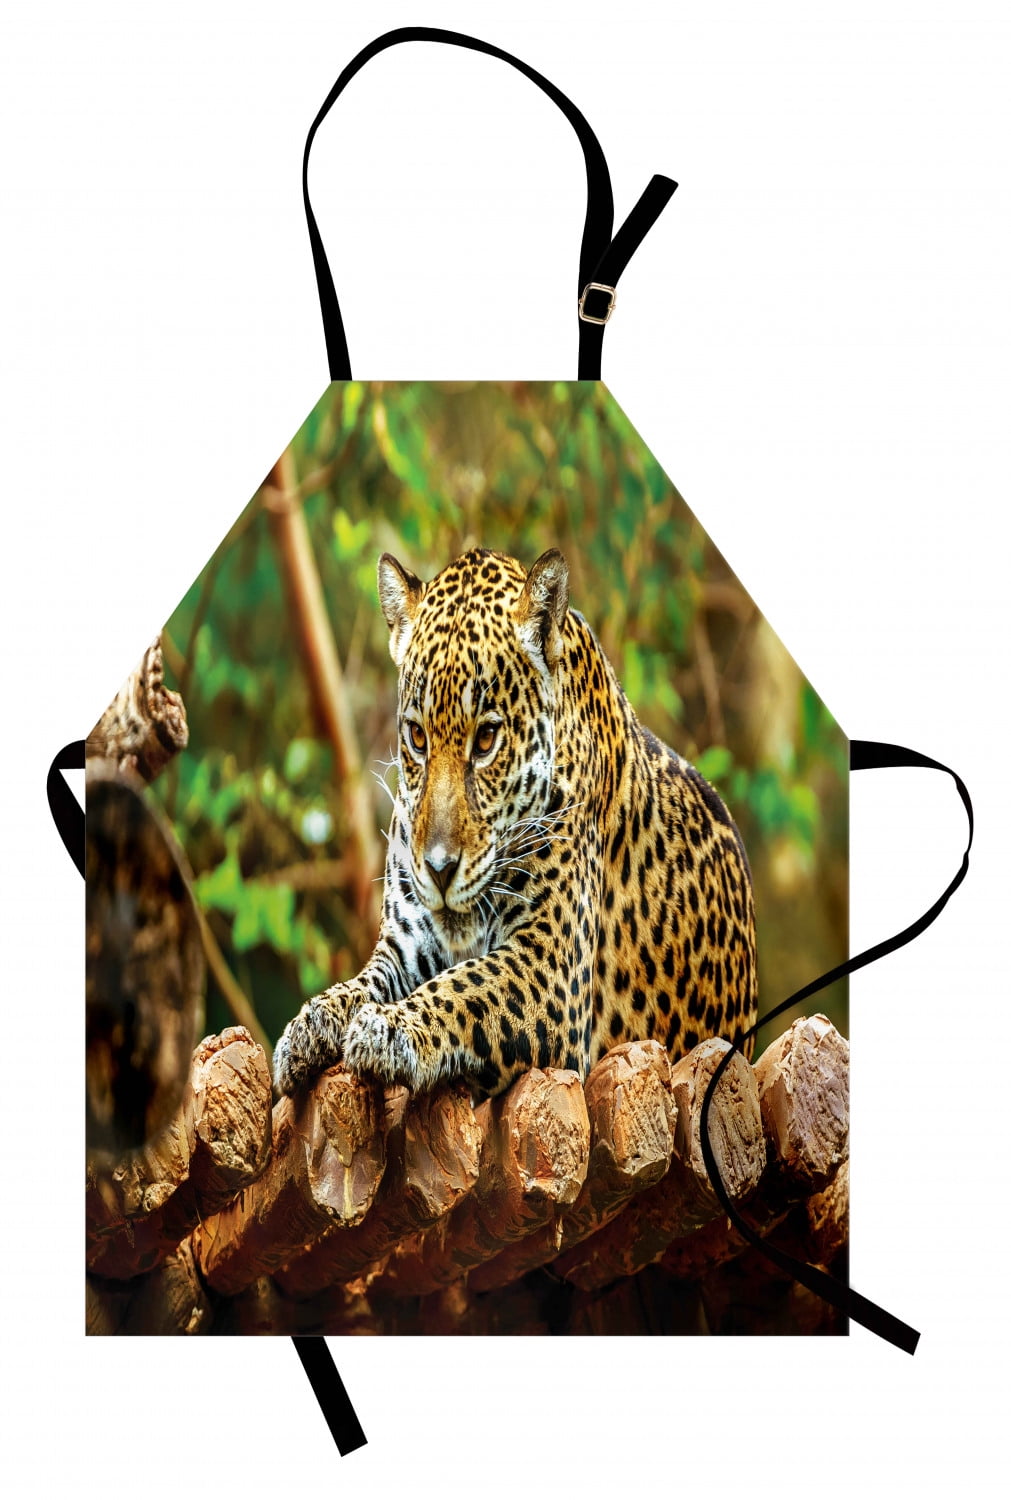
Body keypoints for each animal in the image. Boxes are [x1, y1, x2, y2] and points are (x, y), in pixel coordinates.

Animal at [273, 546, 758, 1101]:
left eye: (486, 740)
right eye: (416, 736)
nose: (439, 869)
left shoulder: (549, 966)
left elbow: (463, 988)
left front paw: (388, 1028)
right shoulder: (405, 948)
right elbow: (361, 985)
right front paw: (309, 1025)